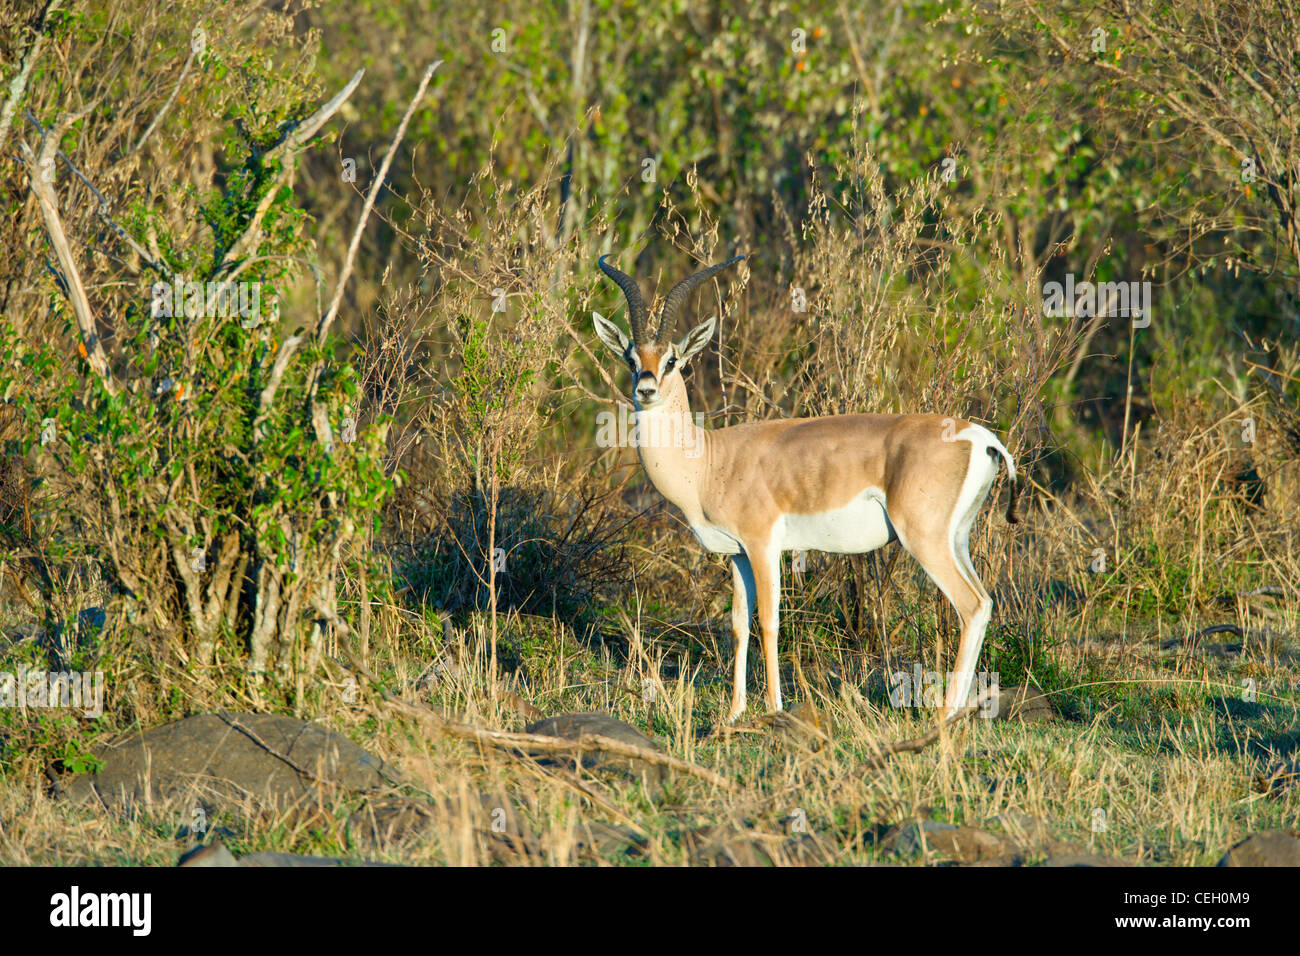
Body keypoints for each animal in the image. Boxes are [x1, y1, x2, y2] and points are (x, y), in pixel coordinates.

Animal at [593, 253, 1019, 724]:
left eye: (672, 360)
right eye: (631, 358)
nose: (645, 389)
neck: (708, 461)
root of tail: (980, 437)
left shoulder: (763, 545)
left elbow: (768, 621)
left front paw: (774, 707)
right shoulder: (737, 555)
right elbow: (739, 623)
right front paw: (735, 713)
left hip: (924, 540)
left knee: (971, 605)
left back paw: (944, 715)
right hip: (956, 538)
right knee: (985, 603)